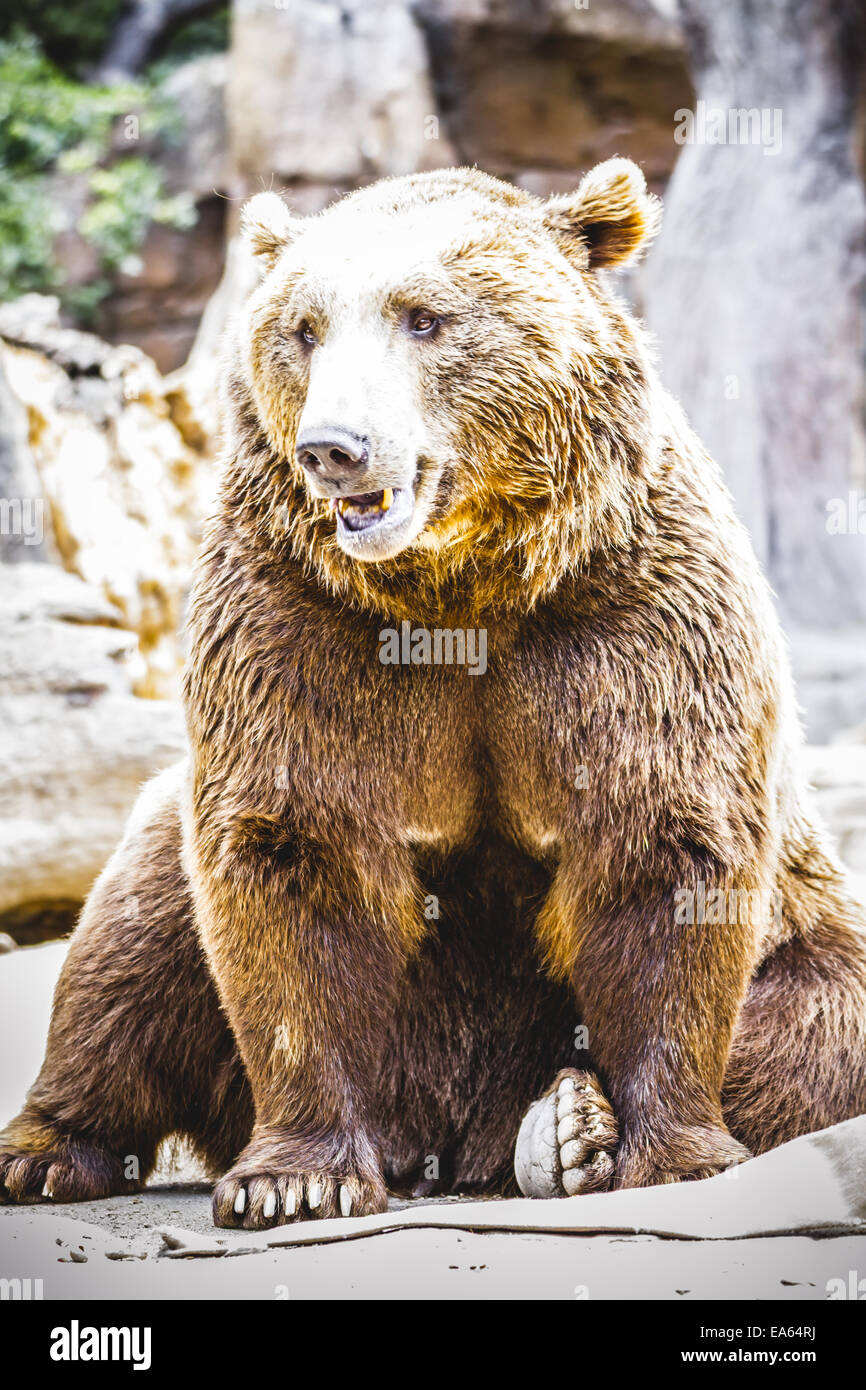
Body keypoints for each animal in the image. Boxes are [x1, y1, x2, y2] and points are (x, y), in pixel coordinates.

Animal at [2, 159, 865, 1228]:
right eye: (304, 329)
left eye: (424, 318)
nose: (335, 446)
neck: (459, 587)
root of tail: (448, 1140)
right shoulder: (300, 623)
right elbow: (292, 851)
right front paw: (295, 1179)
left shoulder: (626, 616)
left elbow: (664, 847)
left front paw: (675, 1154)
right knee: (131, 942)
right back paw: (47, 1153)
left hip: (812, 926)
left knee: (816, 1030)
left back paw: (564, 1129)